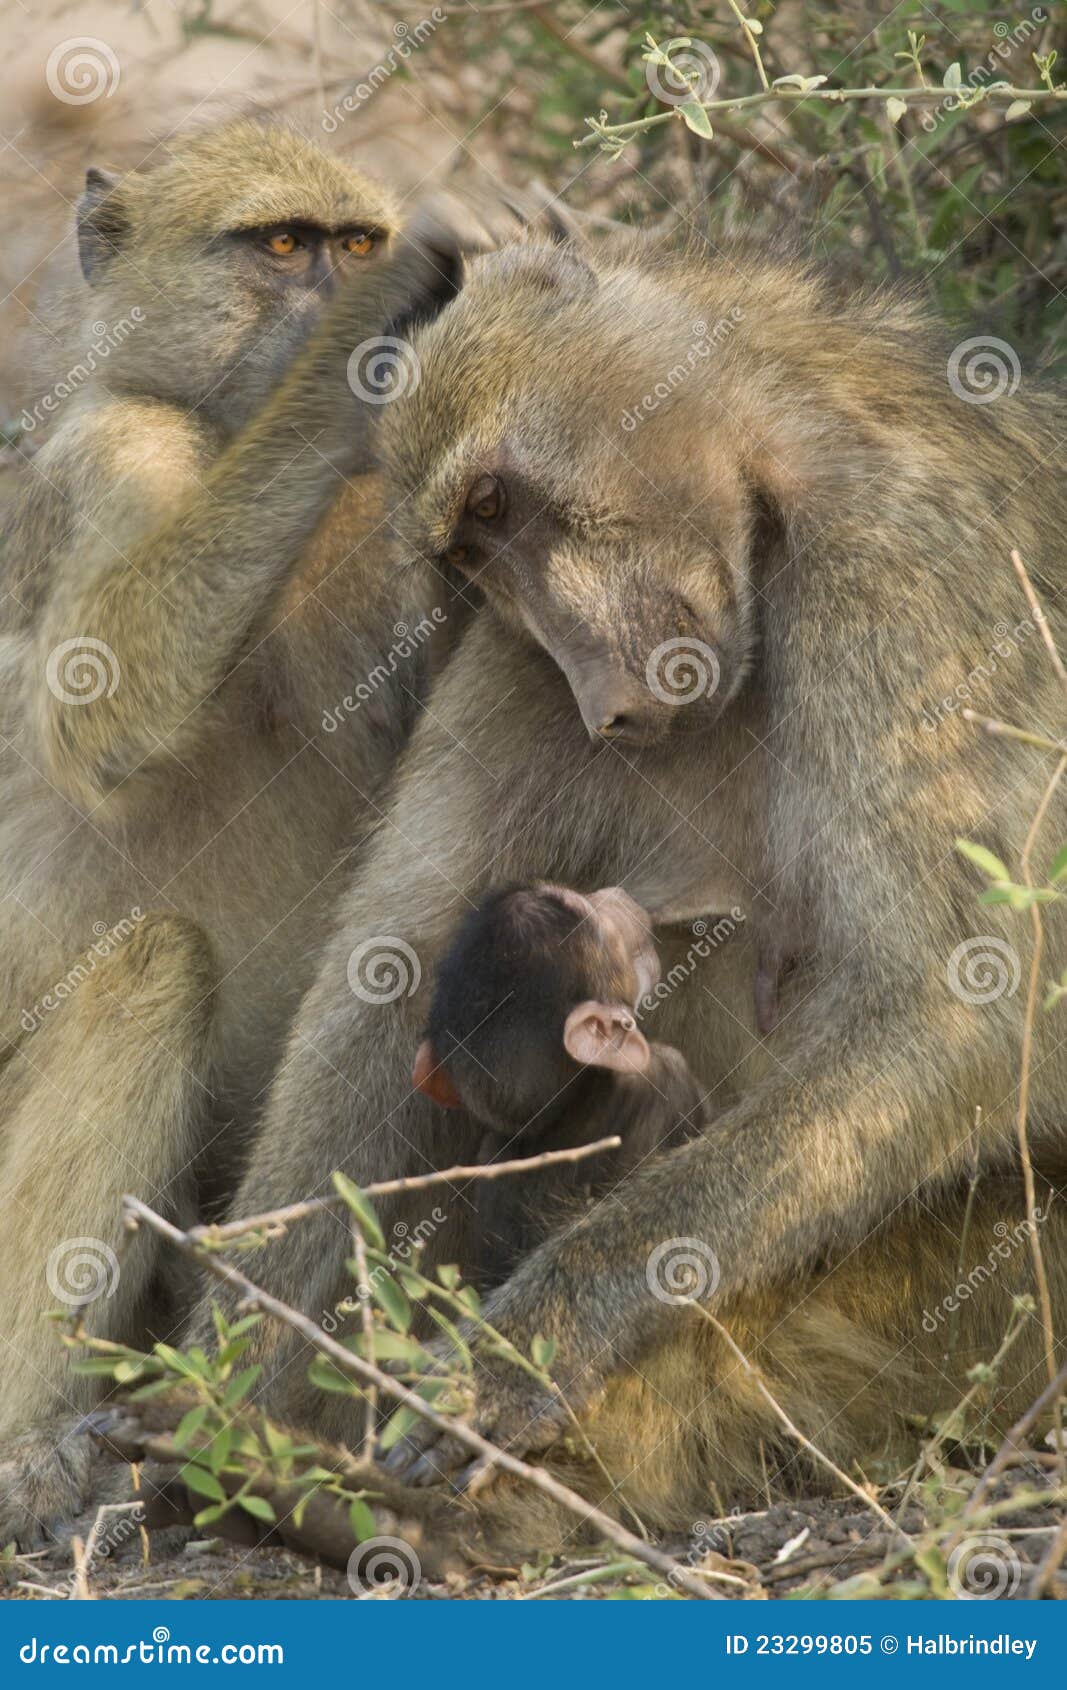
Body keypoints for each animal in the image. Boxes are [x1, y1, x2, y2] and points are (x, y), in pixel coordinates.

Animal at [0, 114, 504, 1545]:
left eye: (348, 237)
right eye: (283, 246)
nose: (348, 285)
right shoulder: (106, 460)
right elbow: (109, 701)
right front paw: (372, 336)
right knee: (150, 965)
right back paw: (39, 1454)